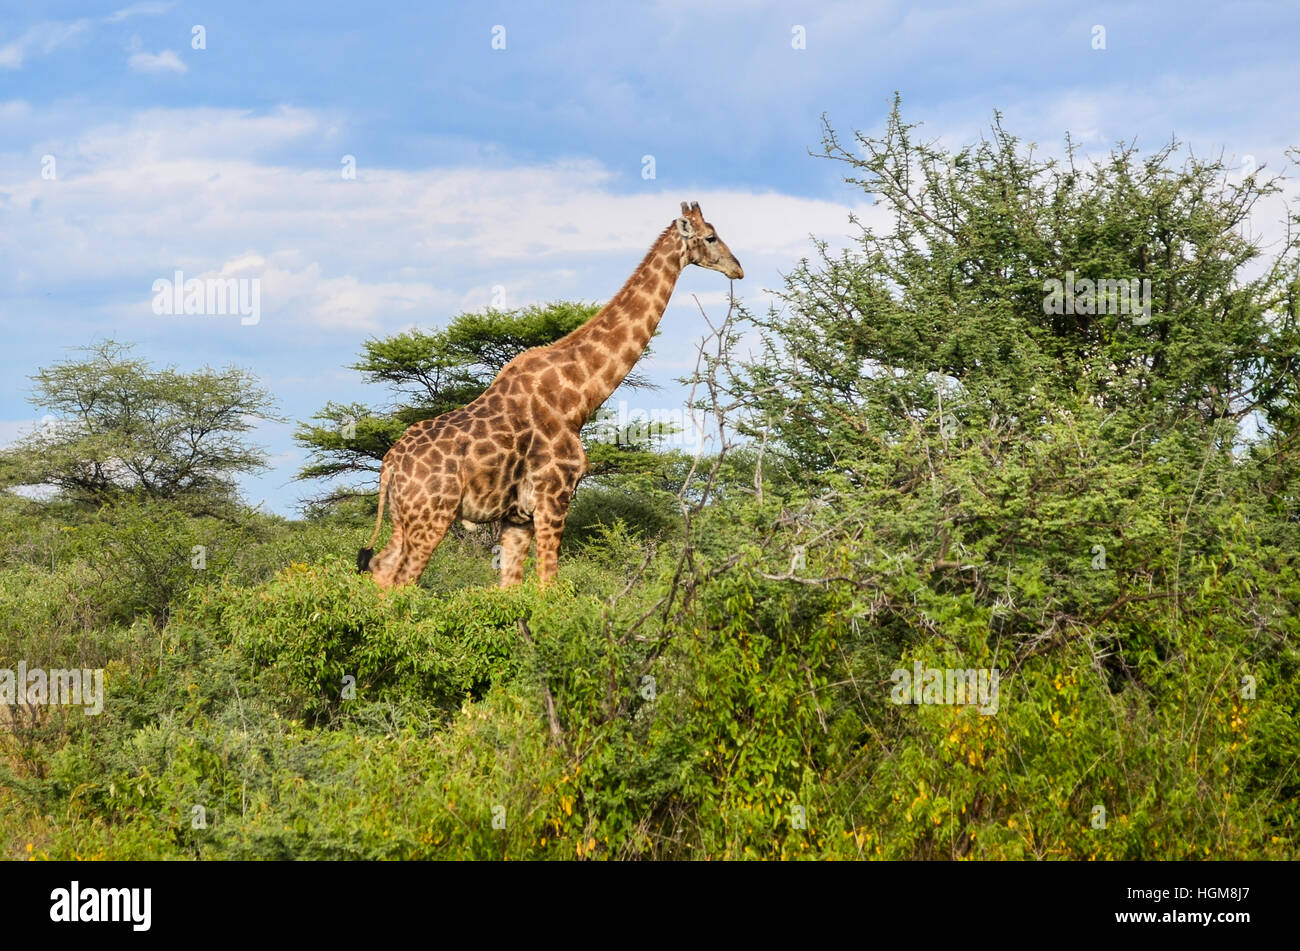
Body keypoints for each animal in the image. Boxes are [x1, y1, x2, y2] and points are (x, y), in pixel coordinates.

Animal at [357, 201, 743, 589]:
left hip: (404, 517)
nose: (738, 268)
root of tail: (389, 464)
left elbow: (512, 588)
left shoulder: (517, 517)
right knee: (402, 580)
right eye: (711, 236)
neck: (577, 397)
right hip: (432, 515)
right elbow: (548, 587)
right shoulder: (553, 498)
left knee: (381, 569)